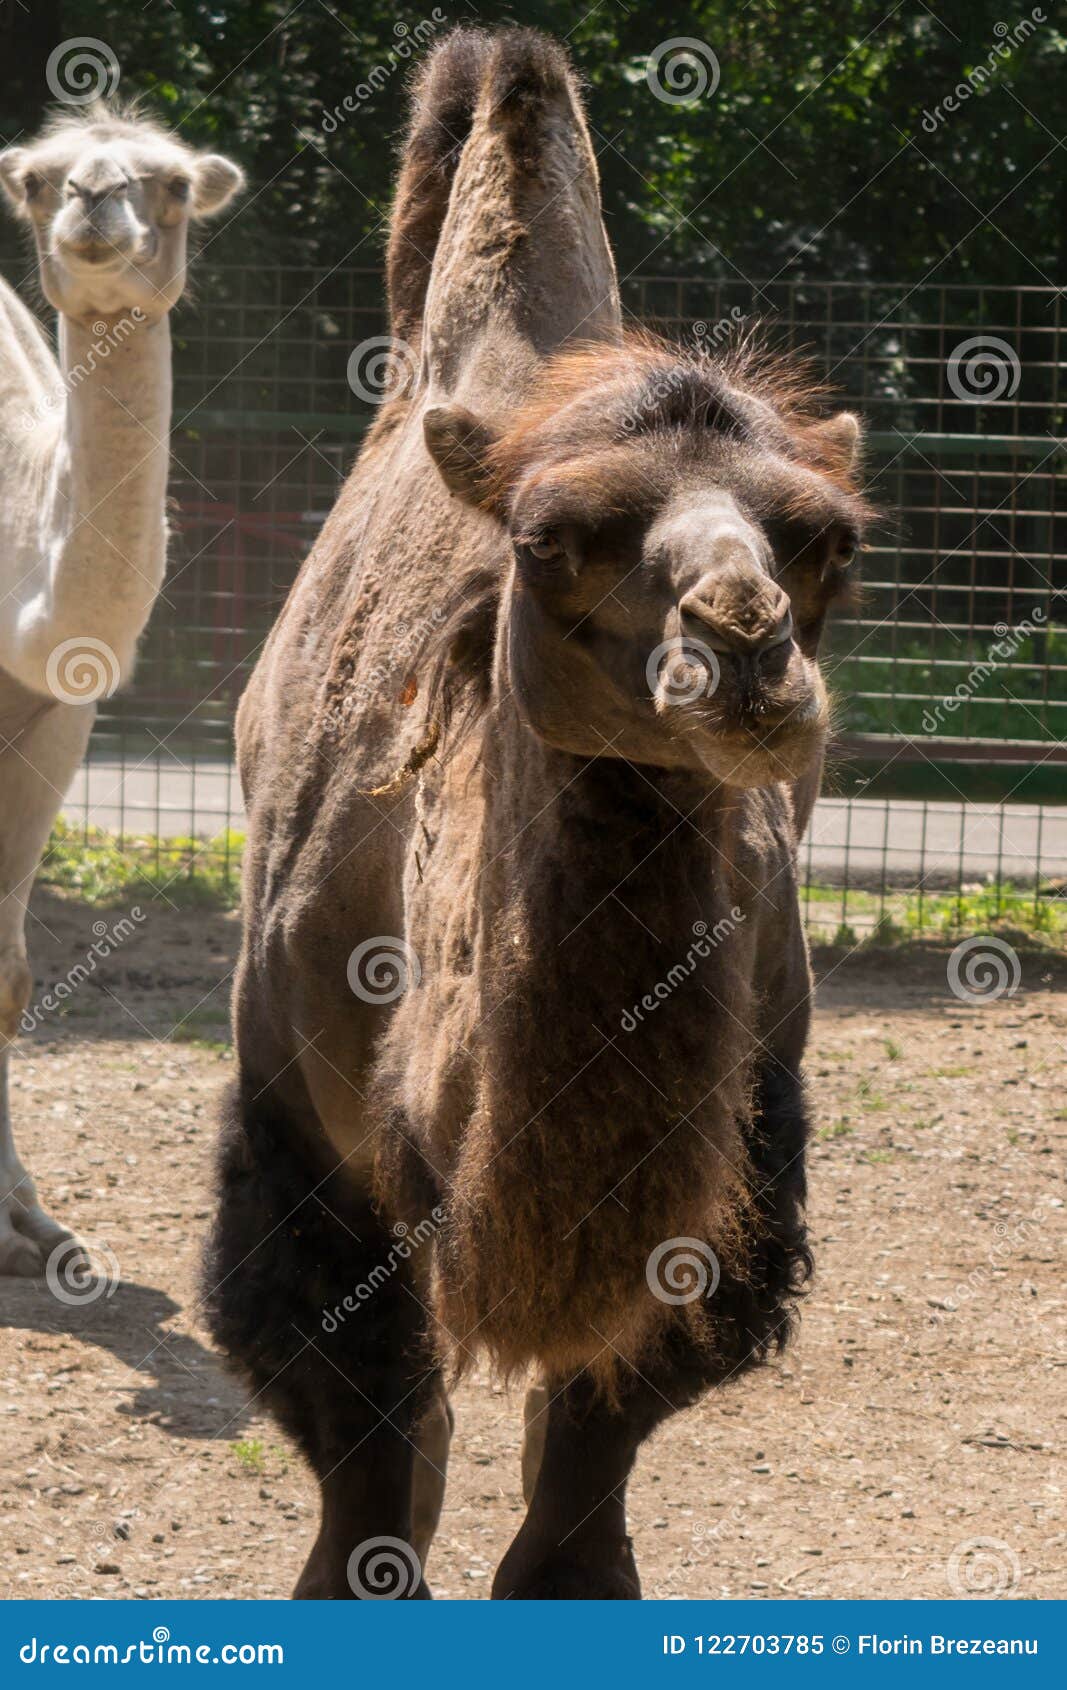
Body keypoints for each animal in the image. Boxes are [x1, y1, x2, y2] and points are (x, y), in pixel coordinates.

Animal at [204, 27, 868, 1599]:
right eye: (551, 538)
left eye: (826, 544)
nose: (742, 642)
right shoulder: (299, 1136)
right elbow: (362, 1421)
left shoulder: (744, 1137)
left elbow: (602, 1420)